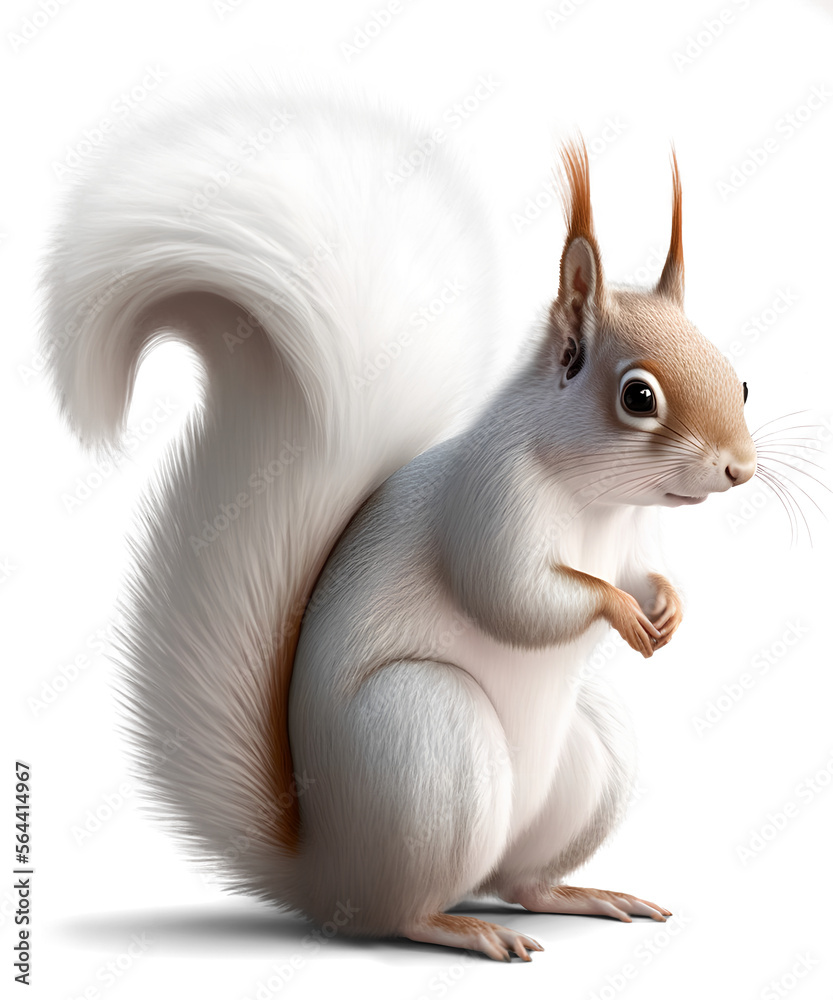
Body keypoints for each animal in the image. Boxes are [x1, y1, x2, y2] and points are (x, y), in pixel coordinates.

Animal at [42, 79, 756, 962]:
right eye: (638, 396)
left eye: (741, 379)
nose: (739, 469)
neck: (596, 499)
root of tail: (328, 875)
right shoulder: (486, 501)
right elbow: (515, 595)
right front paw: (618, 610)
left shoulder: (624, 538)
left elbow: (632, 571)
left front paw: (666, 604)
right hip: (429, 738)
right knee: (405, 911)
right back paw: (462, 927)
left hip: (590, 759)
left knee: (522, 880)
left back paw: (580, 894)